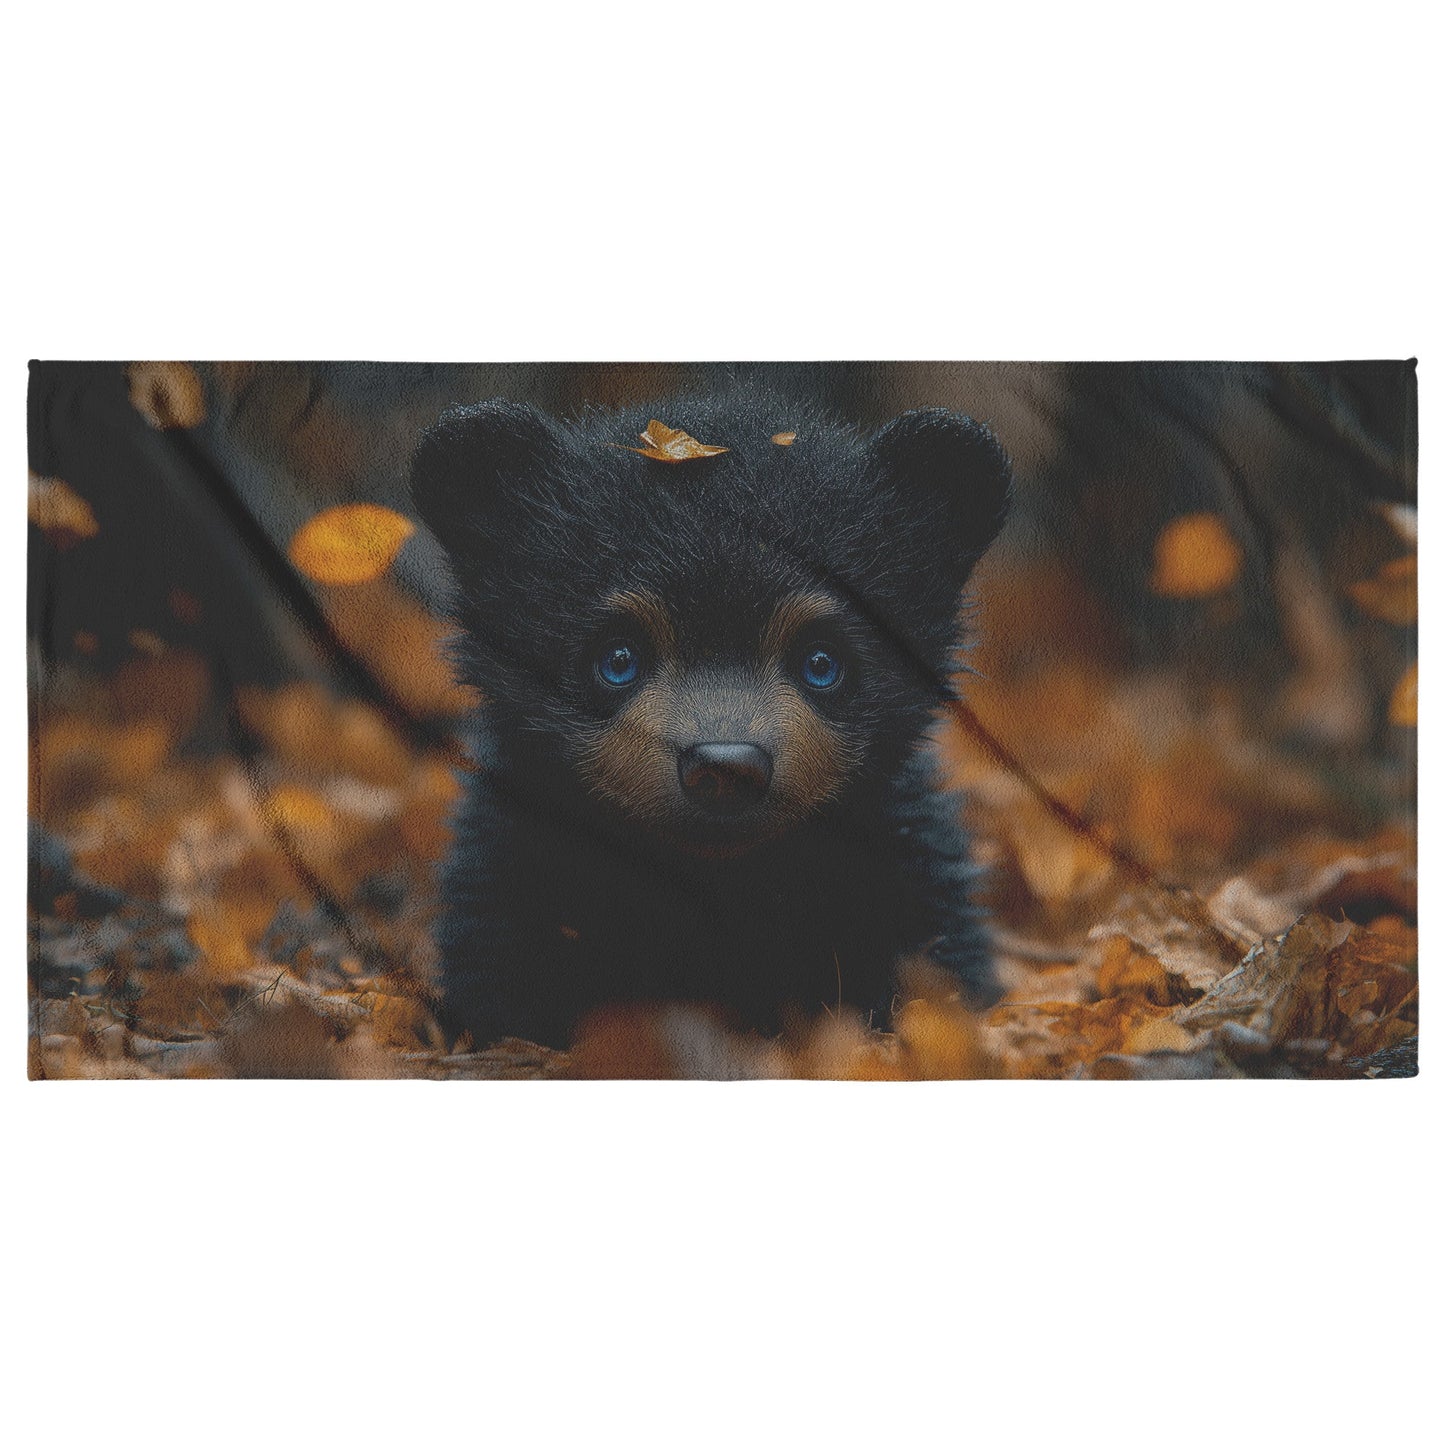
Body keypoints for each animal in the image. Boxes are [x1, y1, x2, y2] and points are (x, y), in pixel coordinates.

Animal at [409, 388, 1013, 1049]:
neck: (716, 895)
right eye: (617, 658)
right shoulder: (513, 872)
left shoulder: (903, 871)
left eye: (822, 662)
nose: (725, 766)